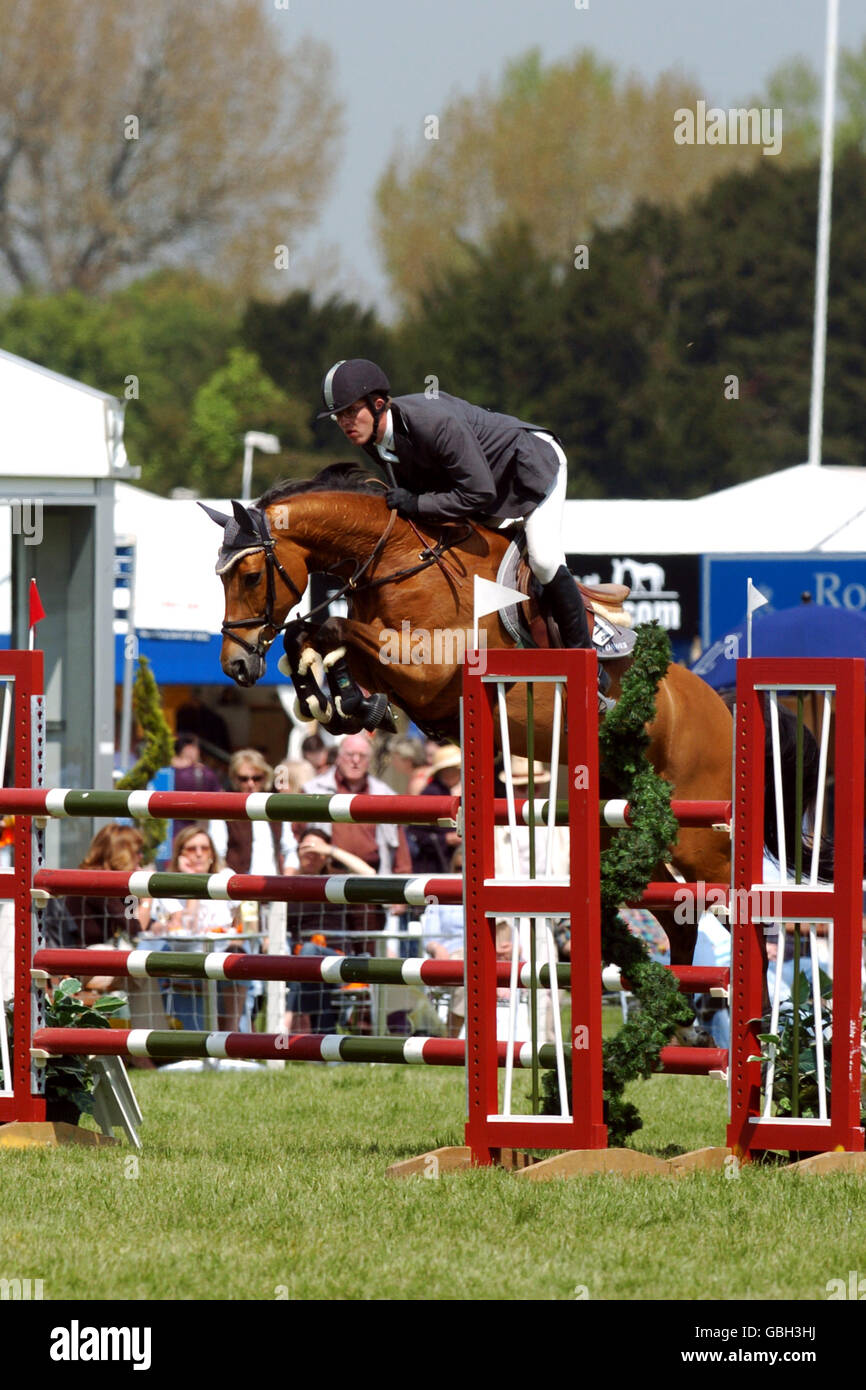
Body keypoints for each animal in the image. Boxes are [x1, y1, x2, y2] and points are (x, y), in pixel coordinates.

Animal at [201, 464, 735, 965]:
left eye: (250, 576)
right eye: (219, 577)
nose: (236, 665)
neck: (398, 561)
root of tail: (721, 710)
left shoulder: (428, 666)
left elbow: (334, 628)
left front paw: (341, 699)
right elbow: (312, 638)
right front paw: (341, 705)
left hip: (697, 836)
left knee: (732, 901)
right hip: (618, 823)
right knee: (682, 918)